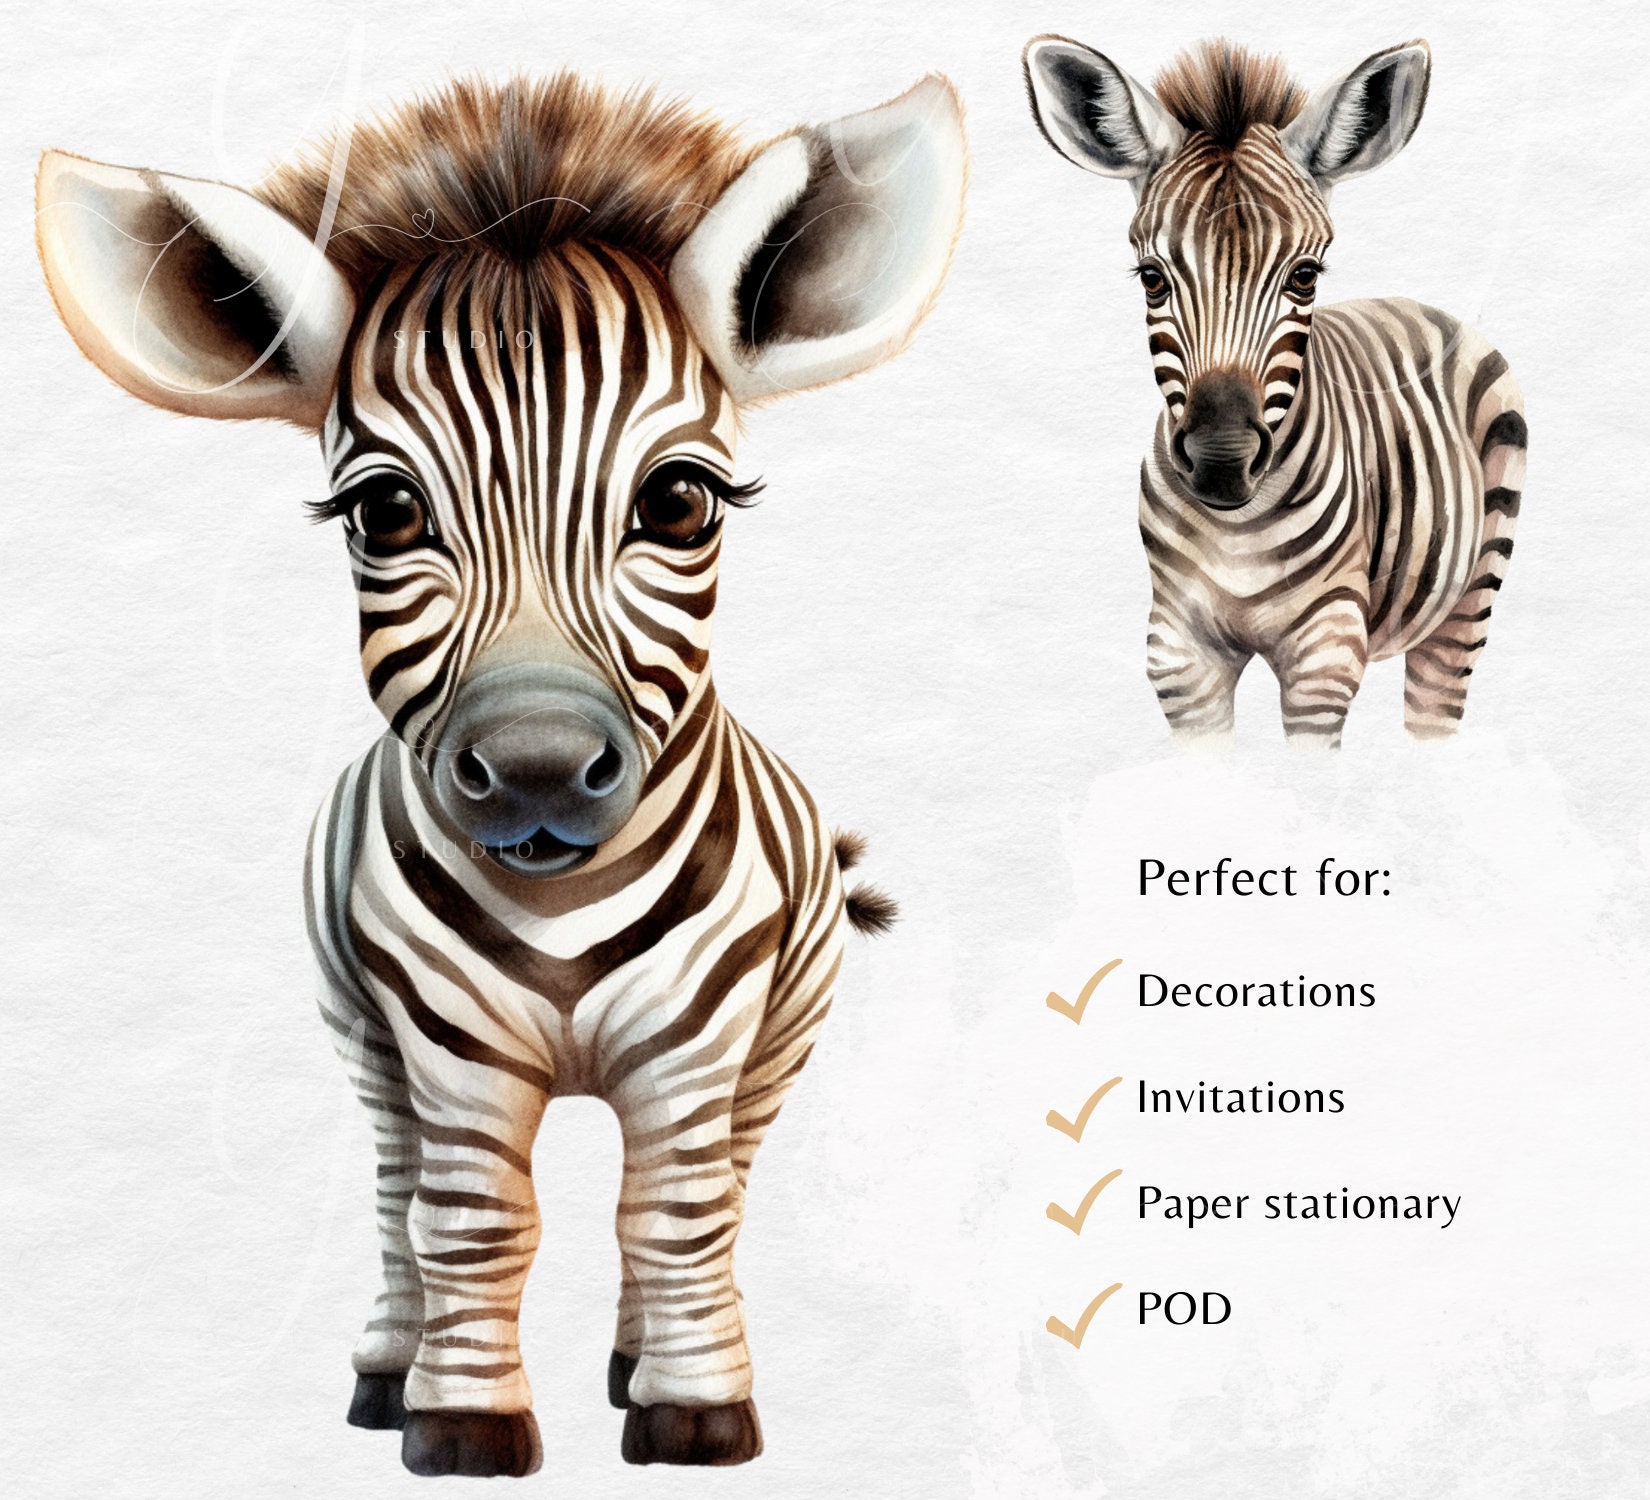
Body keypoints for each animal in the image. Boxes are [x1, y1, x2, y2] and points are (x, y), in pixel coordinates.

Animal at [35, 71, 964, 1475]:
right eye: (383, 514)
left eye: (681, 504)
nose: (536, 779)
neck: (560, 900)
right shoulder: (439, 1035)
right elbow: (470, 1219)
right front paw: (459, 1419)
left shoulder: (704, 1039)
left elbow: (673, 1212)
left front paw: (694, 1410)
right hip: (361, 1031)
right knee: (392, 1188)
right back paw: (389, 1366)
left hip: (782, 1031)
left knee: (718, 1184)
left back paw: (640, 1359)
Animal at [1023, 37, 1526, 747]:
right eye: (1151, 278)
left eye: (1305, 276)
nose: (1221, 461)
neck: (1238, 530)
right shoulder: (1178, 653)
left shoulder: (1328, 652)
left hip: (1471, 593)